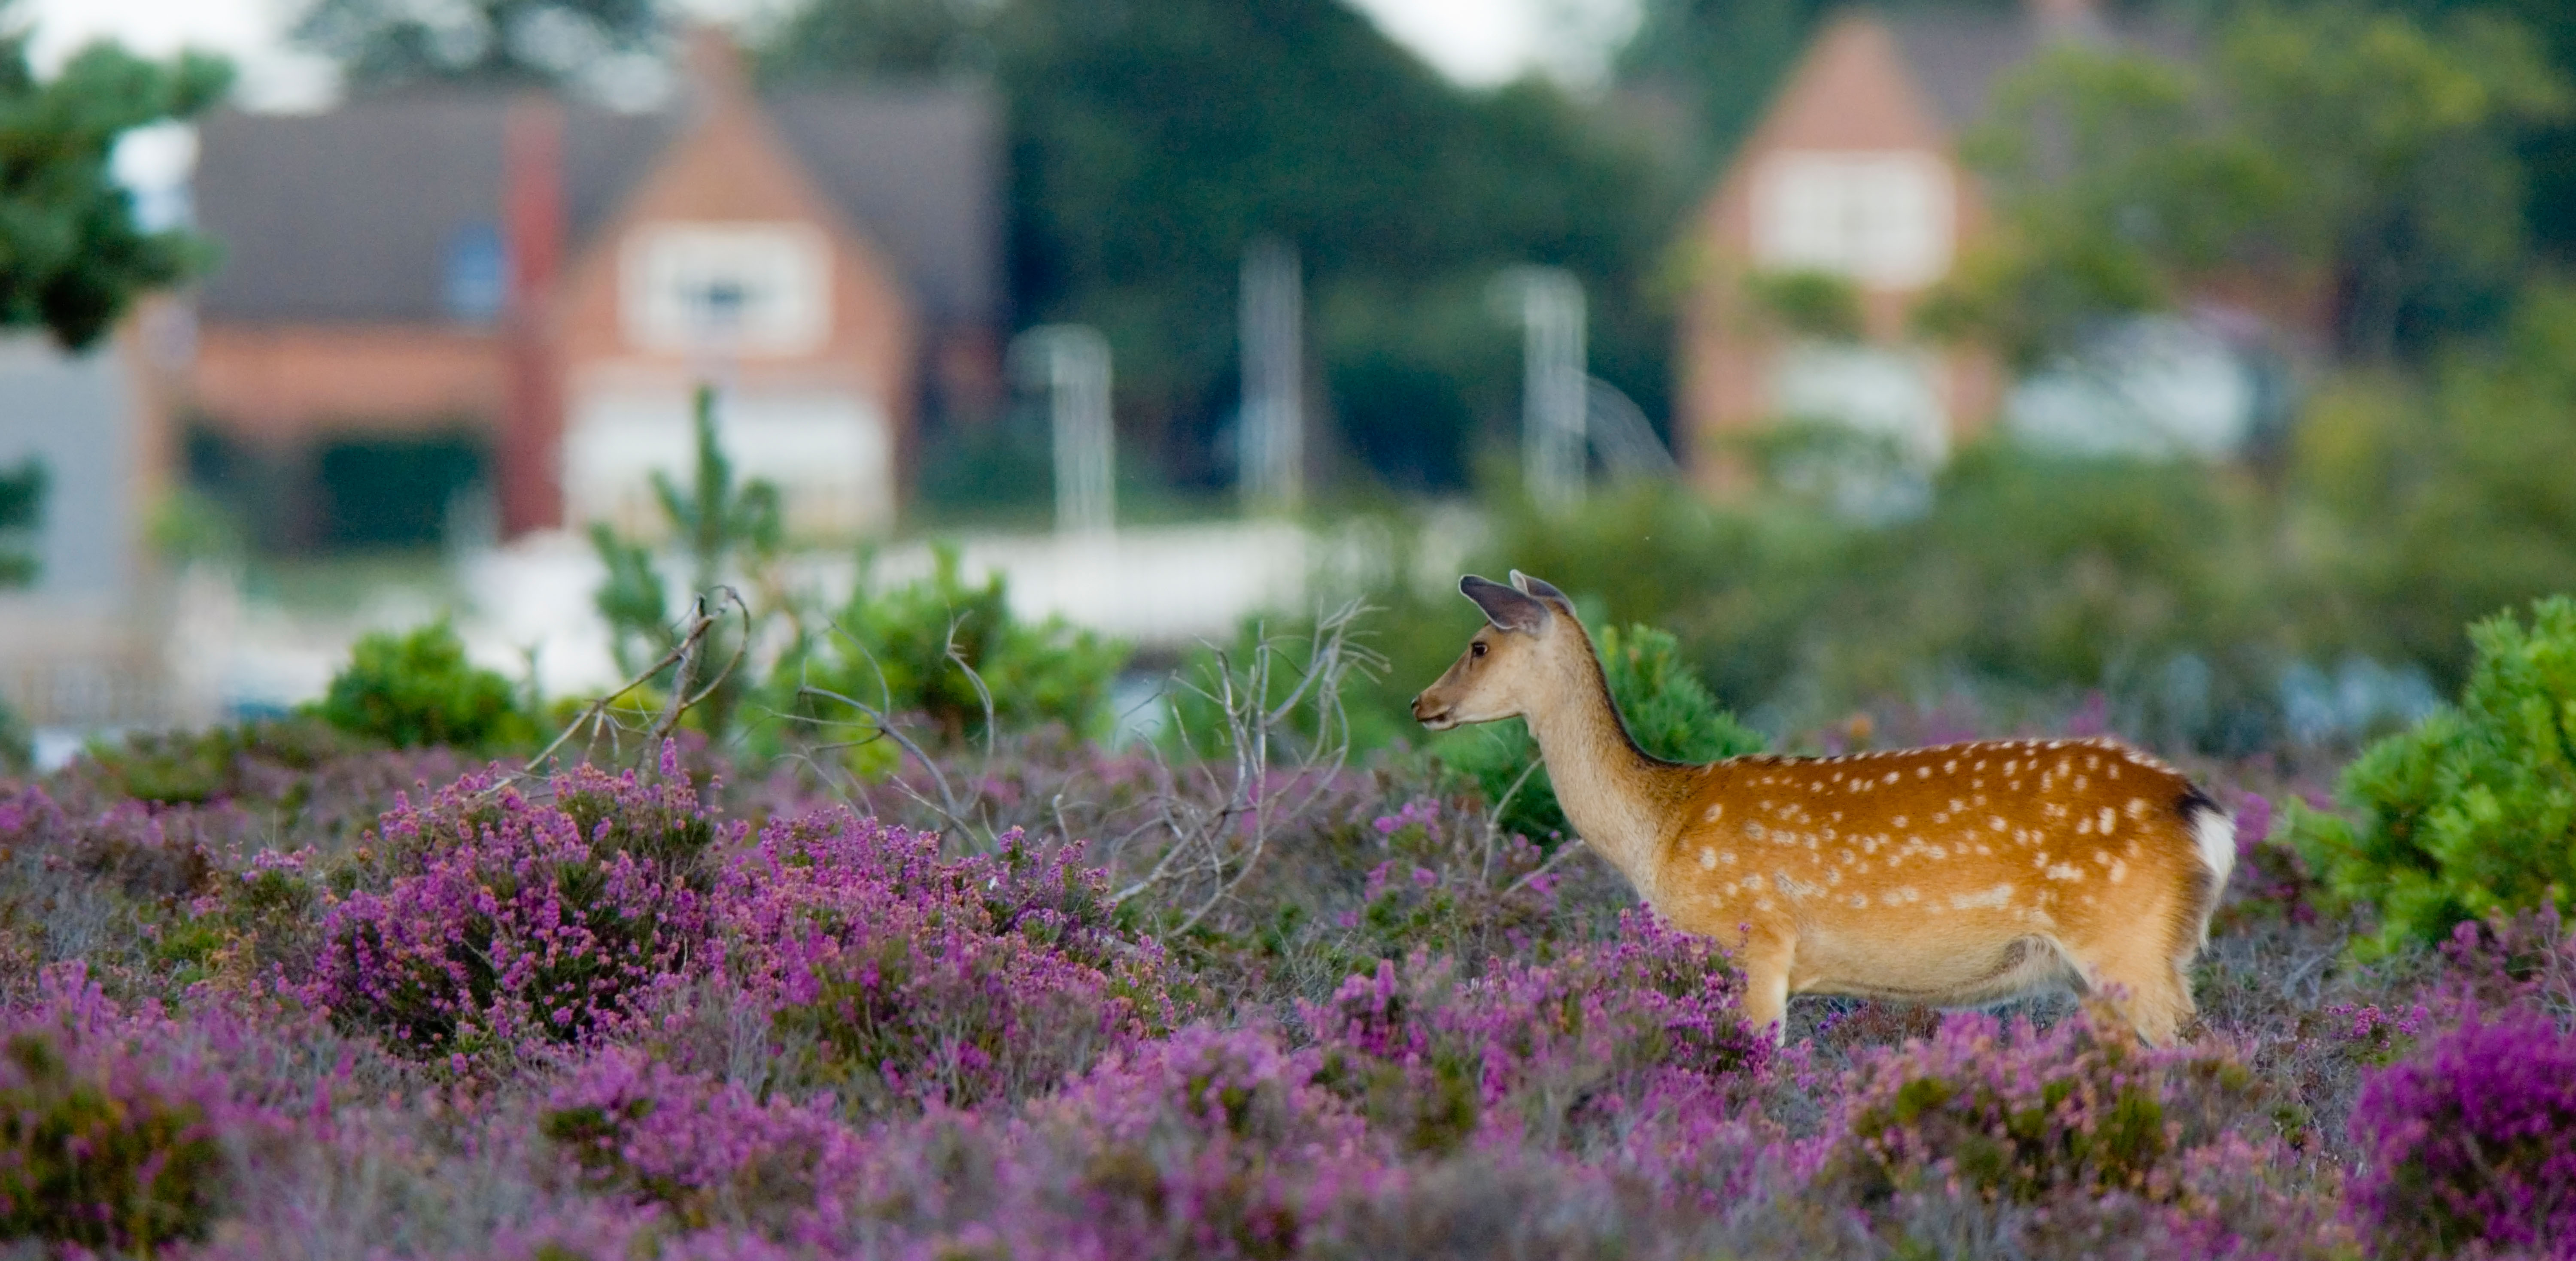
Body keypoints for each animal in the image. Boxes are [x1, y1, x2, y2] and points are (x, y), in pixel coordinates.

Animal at [1410, 571, 2236, 1046]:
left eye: (1479, 645)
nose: (1422, 702)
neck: (1660, 826)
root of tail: (2208, 818)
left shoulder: (1756, 939)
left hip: (2126, 940)